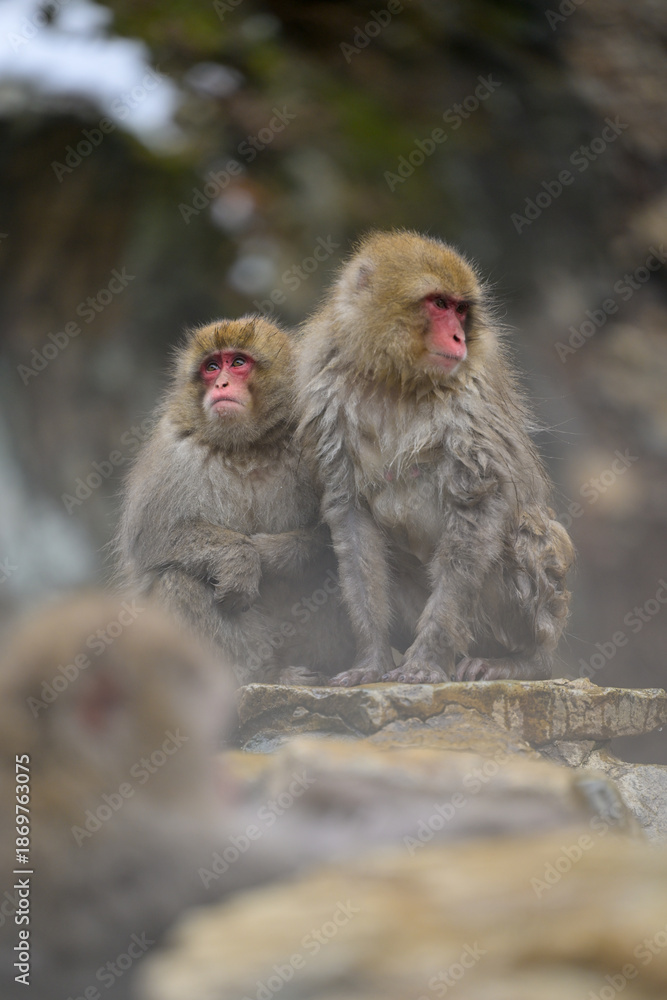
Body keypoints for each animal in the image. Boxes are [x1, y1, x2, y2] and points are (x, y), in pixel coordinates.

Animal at [115, 316, 354, 687]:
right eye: (212, 367)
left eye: (238, 362)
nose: (222, 383)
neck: (247, 446)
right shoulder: (174, 450)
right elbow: (153, 537)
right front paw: (241, 558)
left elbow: (338, 528)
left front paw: (273, 552)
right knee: (178, 580)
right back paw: (261, 675)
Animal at [297, 230, 574, 686]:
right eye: (439, 304)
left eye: (461, 310)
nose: (459, 338)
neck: (396, 379)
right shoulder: (326, 396)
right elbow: (350, 514)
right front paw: (371, 659)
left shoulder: (469, 397)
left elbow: (479, 502)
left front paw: (426, 659)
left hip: (546, 610)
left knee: (524, 533)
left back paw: (523, 660)